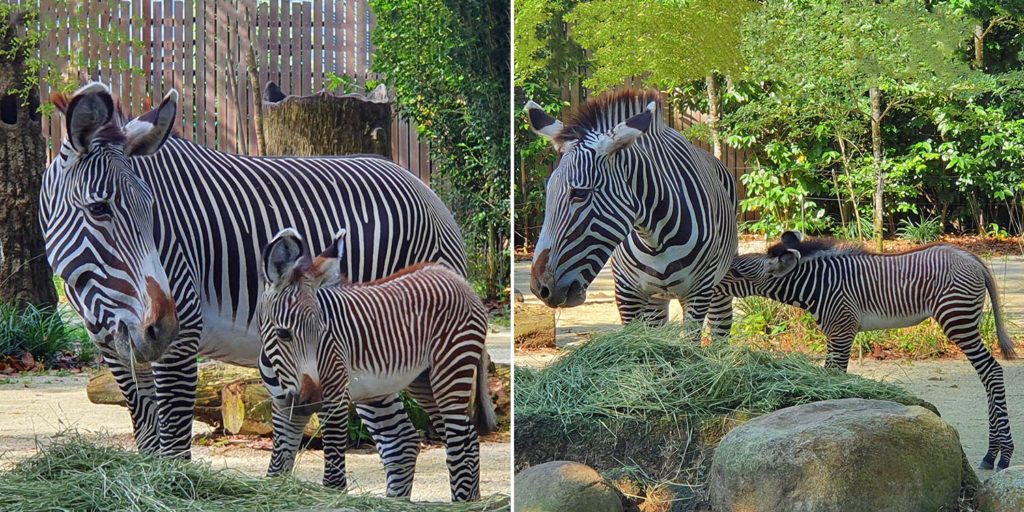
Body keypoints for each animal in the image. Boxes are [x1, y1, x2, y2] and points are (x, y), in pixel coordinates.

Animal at [39, 82, 468, 496]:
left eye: (153, 210)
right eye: (99, 209)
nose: (162, 327)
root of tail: (427, 191)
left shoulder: (180, 341)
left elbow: (173, 448)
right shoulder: (114, 348)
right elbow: (147, 440)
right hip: (374, 358)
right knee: (401, 441)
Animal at [257, 228, 494, 501]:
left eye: (322, 332)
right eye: (283, 334)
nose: (313, 400)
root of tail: (456, 278)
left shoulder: (336, 398)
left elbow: (333, 480)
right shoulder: (284, 407)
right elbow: (276, 471)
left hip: (452, 369)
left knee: (459, 446)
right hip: (424, 381)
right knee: (468, 438)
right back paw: (470, 501)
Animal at [525, 89, 738, 337]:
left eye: (579, 193)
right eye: (548, 190)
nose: (539, 289)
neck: (655, 240)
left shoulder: (699, 291)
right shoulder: (627, 294)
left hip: (720, 283)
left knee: (720, 329)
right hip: (656, 299)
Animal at [715, 230, 1018, 470]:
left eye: (738, 271)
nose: (711, 283)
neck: (818, 286)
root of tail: (972, 258)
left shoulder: (842, 331)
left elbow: (835, 375)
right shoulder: (834, 334)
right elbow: (830, 375)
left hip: (958, 320)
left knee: (992, 371)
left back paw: (1002, 455)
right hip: (962, 321)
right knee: (987, 374)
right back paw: (992, 454)